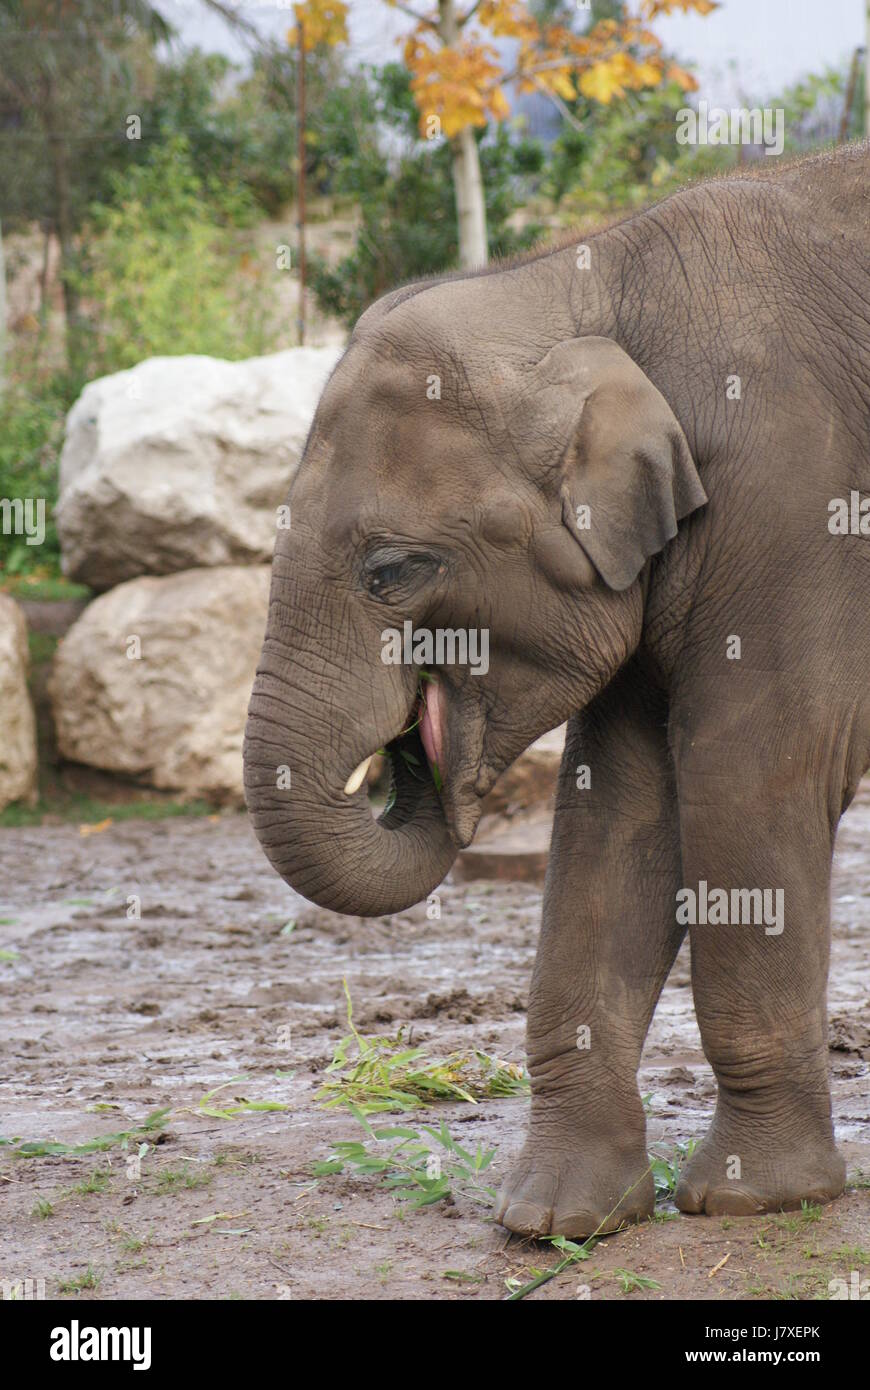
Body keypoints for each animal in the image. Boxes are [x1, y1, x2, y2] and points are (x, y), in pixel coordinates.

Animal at [244, 142, 870, 1236]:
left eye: (393, 570)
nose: (409, 750)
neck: (586, 283)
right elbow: (619, 807)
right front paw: (552, 1218)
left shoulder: (799, 500)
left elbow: (750, 778)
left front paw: (752, 1198)